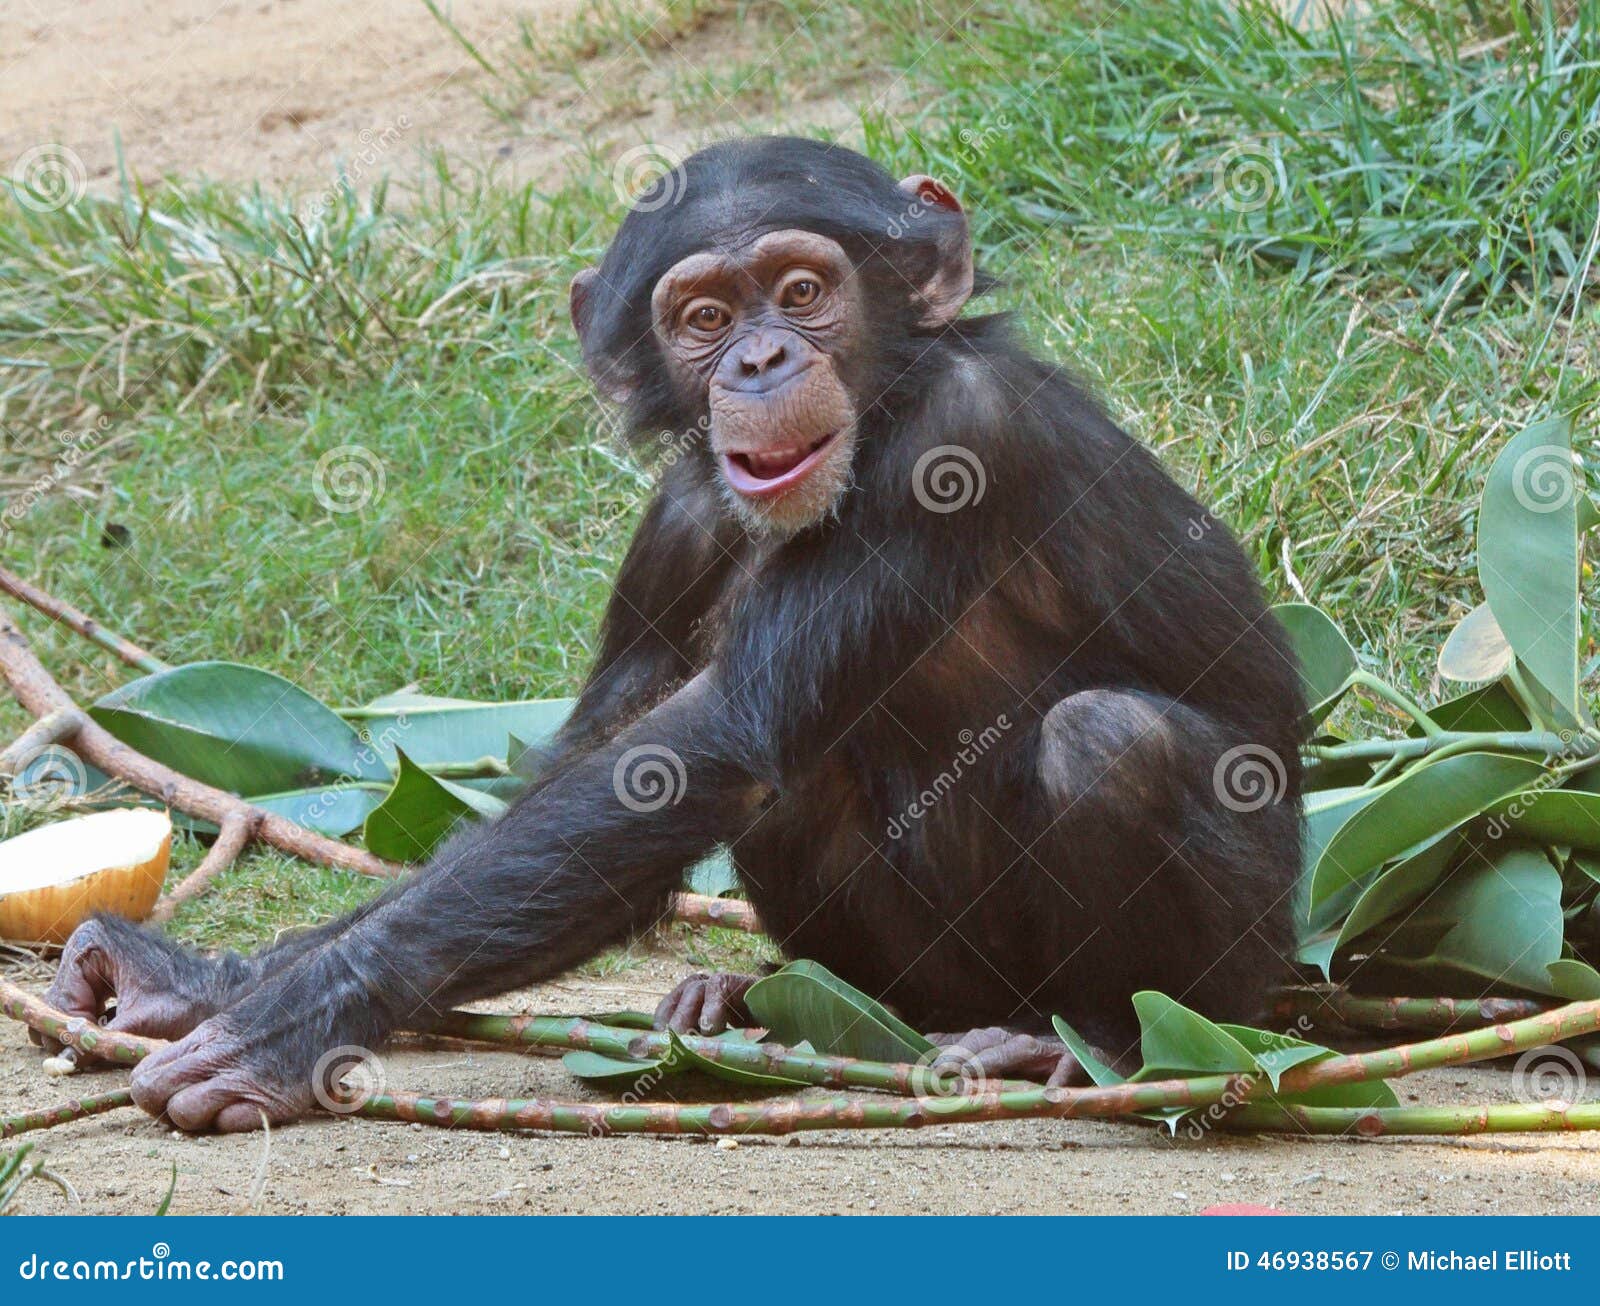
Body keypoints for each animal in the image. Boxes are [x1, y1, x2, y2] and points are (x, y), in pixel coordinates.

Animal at [36, 136, 1303, 1128]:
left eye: (803, 290)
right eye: (704, 316)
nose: (759, 358)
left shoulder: (956, 444)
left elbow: (718, 735)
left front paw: (295, 1020)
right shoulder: (676, 526)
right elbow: (621, 760)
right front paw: (208, 980)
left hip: (1242, 967)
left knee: (1109, 743)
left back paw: (1087, 1040)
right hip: (926, 976)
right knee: (799, 798)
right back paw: (752, 1001)